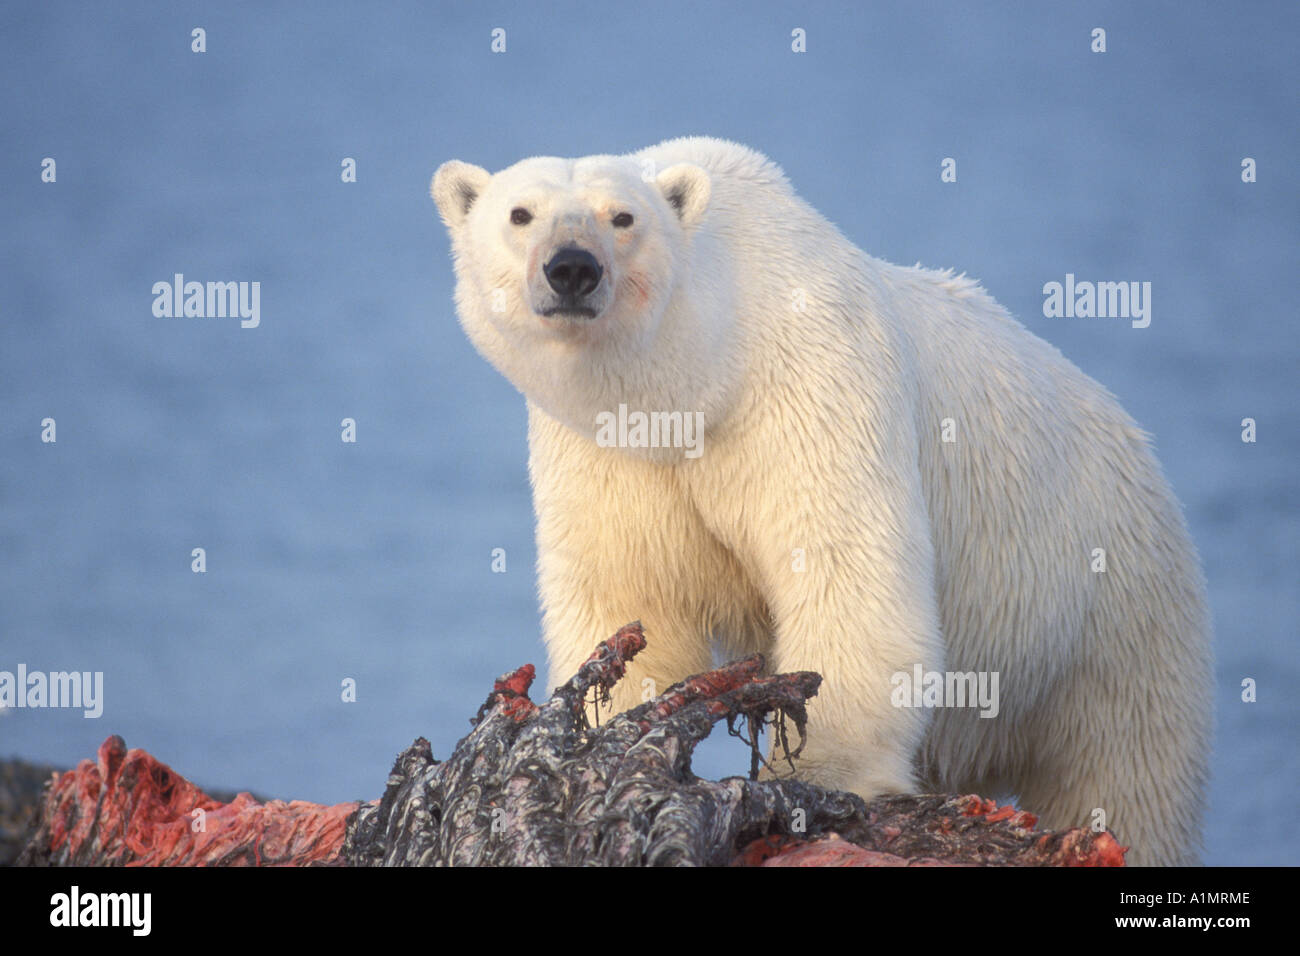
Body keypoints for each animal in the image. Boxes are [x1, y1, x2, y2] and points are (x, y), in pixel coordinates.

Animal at [431, 137, 1213, 866]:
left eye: (622, 217)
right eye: (520, 214)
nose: (572, 268)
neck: (701, 374)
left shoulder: (810, 382)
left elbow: (845, 567)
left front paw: (817, 776)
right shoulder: (609, 451)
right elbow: (632, 588)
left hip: (1111, 615)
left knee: (1125, 772)